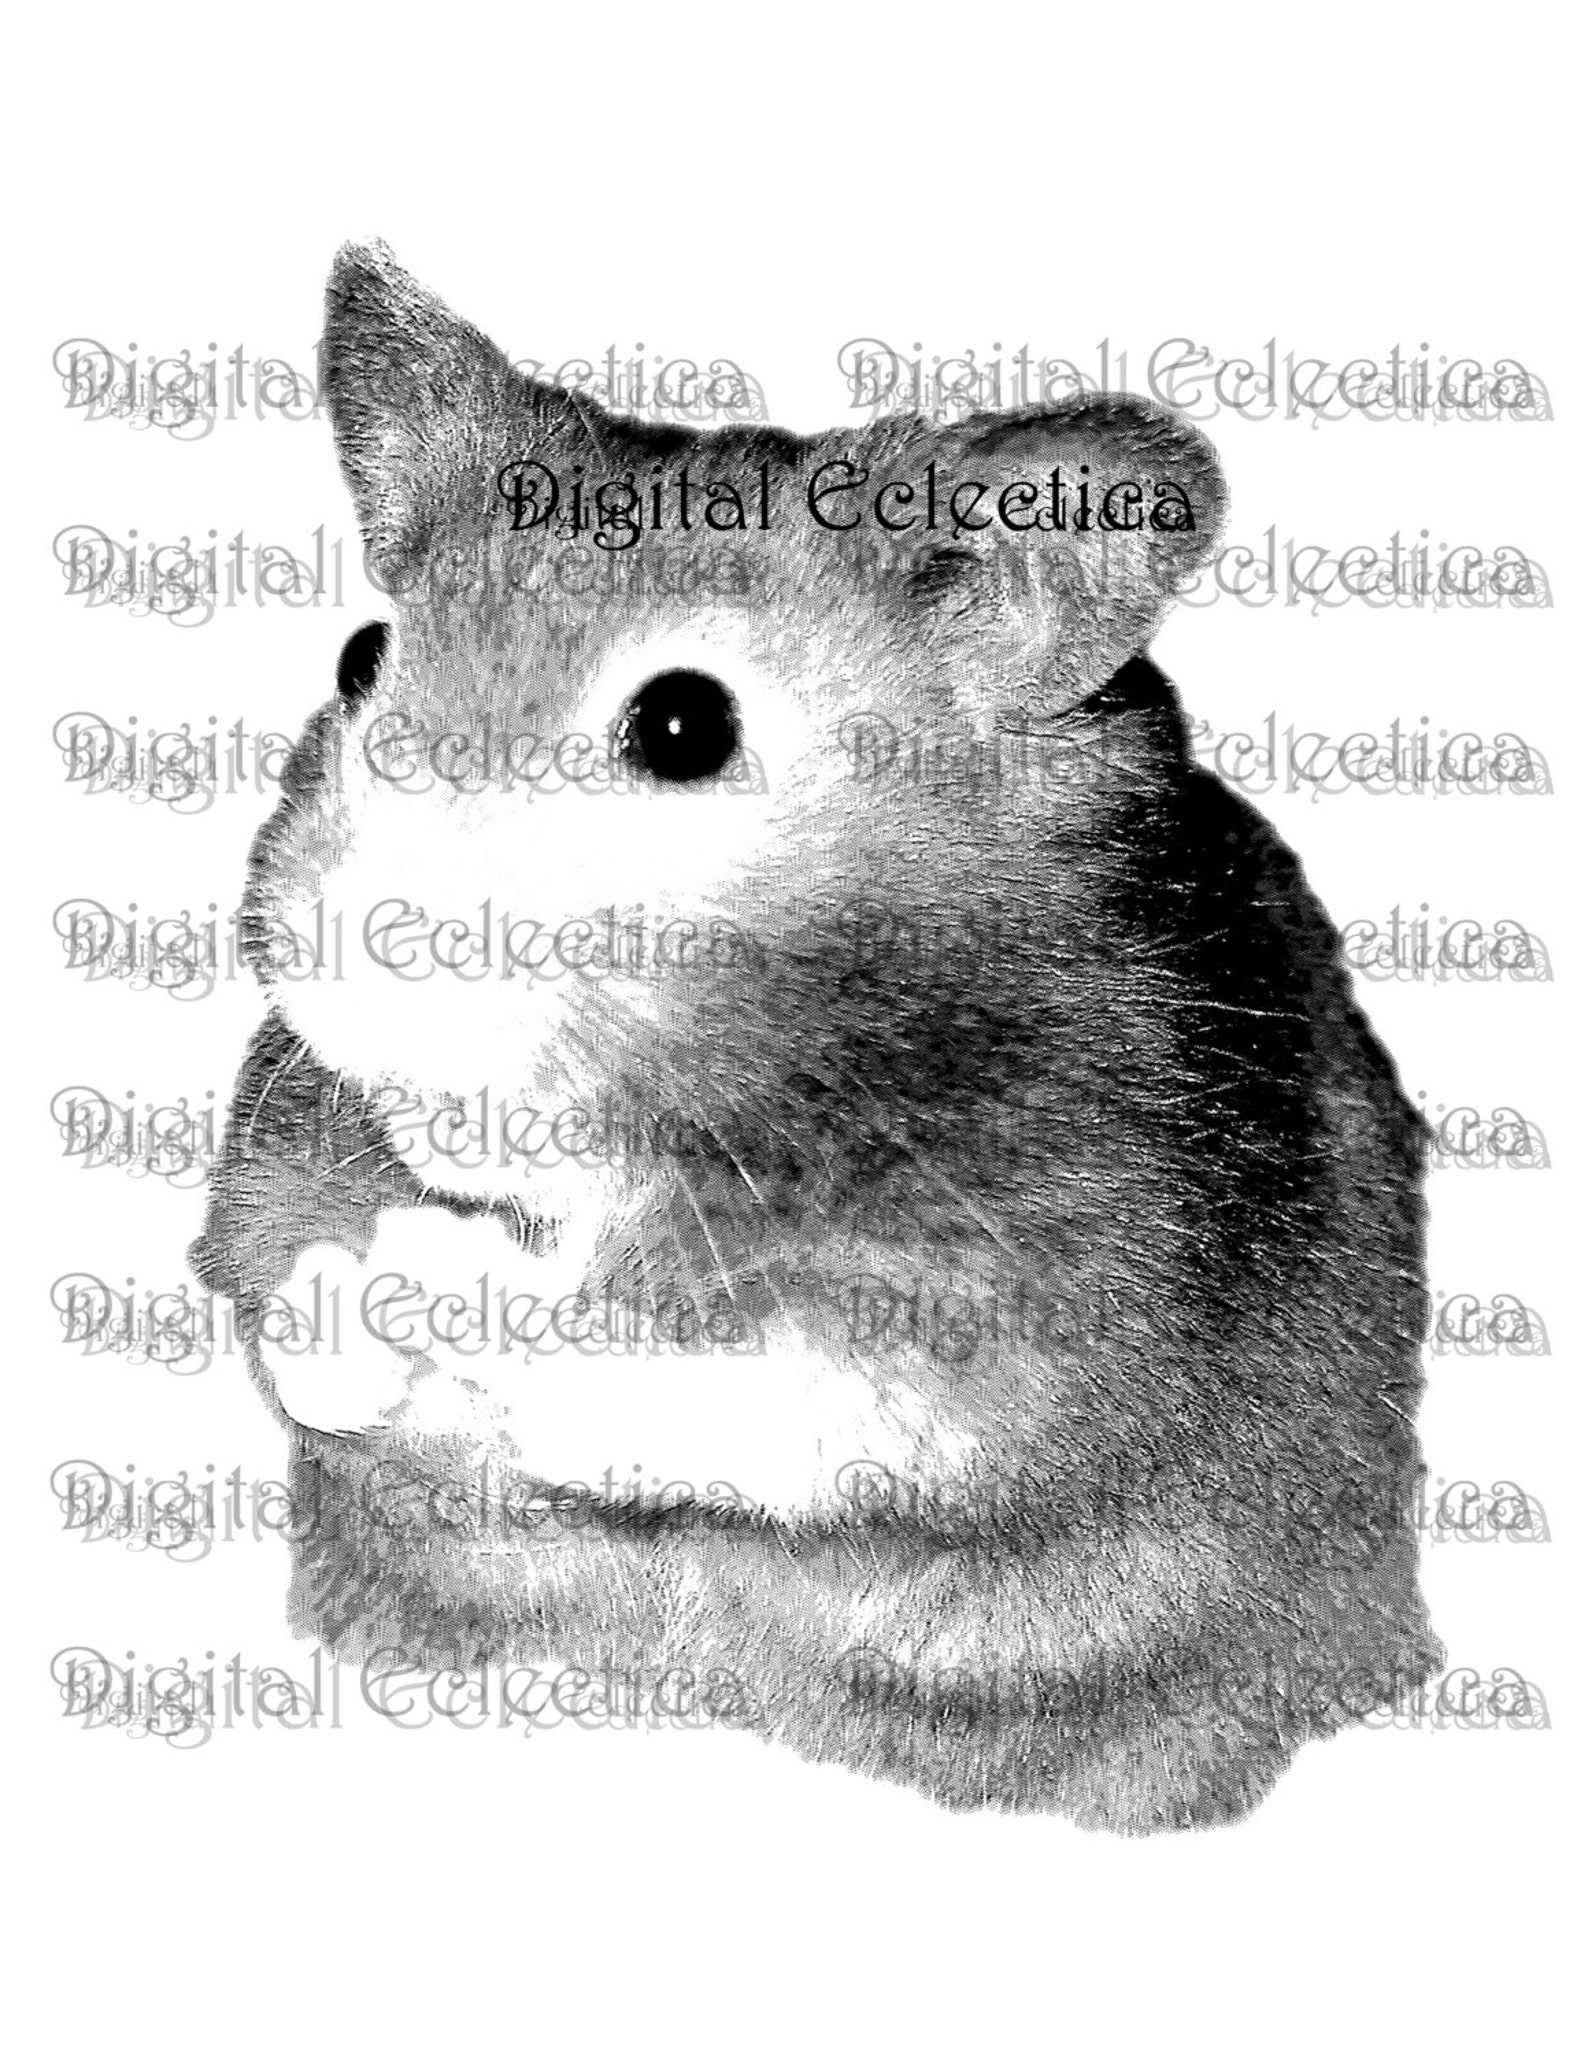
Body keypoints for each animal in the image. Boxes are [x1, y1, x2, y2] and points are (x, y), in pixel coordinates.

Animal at [190, 239, 1441, 1831]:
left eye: (682, 725)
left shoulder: (1034, 1299)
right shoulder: (279, 1153)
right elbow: (276, 1275)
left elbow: (747, 1381)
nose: (358, 963)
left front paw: (432, 1272)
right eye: (362, 655)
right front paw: (347, 1311)